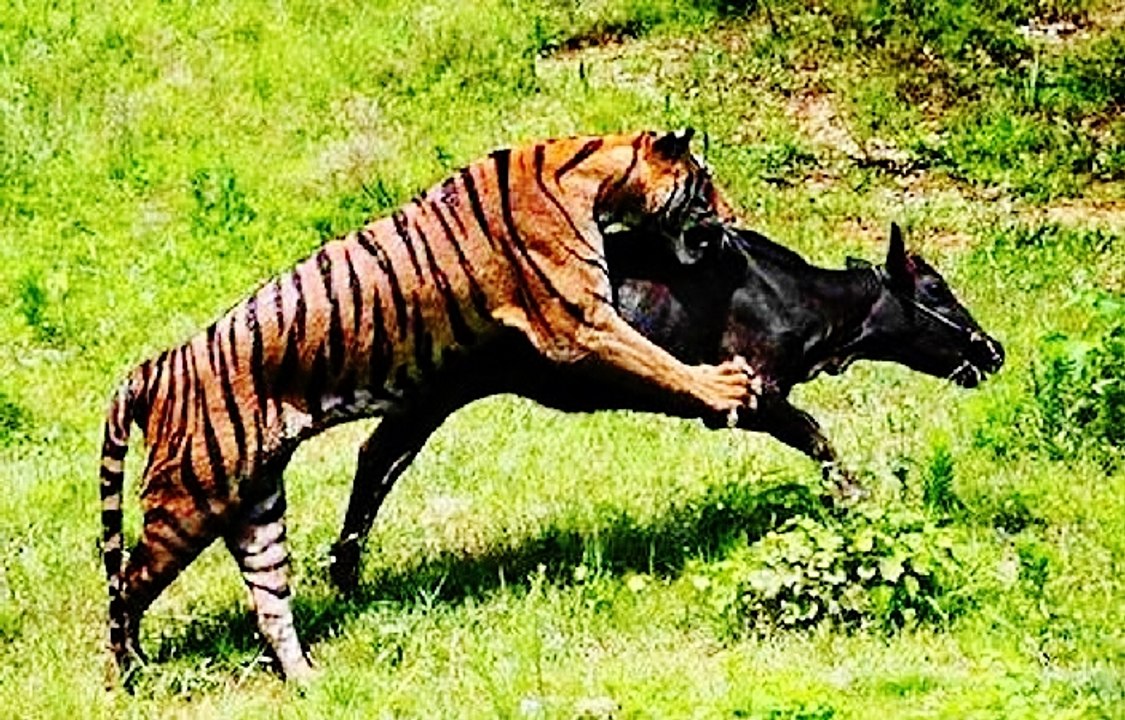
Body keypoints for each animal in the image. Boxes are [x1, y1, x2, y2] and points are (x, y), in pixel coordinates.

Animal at [98, 129, 759, 683]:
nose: (734, 219)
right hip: (187, 504)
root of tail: (155, 366)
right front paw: (724, 385)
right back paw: (133, 674)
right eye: (705, 185)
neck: (594, 175)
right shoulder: (581, 323)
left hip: (256, 506)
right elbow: (659, 362)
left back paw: (311, 681)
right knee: (125, 584)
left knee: (269, 603)